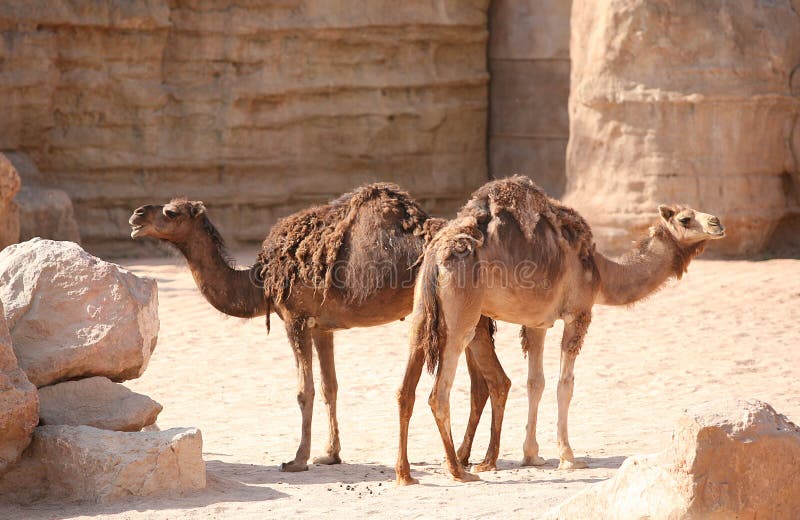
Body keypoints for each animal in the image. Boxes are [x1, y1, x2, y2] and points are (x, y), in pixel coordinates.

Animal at [128, 184, 506, 472]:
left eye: (171, 212)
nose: (136, 215)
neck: (259, 281)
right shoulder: (323, 327)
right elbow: (330, 387)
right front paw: (330, 454)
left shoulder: (295, 318)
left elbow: (304, 390)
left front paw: (297, 459)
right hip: (469, 314)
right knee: (481, 383)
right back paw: (468, 458)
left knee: (487, 381)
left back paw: (472, 460)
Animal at [395, 175, 725, 485]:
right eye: (685, 219)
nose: (717, 222)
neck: (601, 271)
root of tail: (437, 254)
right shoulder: (578, 313)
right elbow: (565, 385)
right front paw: (568, 456)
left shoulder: (535, 322)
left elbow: (535, 383)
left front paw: (532, 455)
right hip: (461, 315)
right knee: (440, 392)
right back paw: (457, 470)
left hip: (422, 312)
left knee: (406, 385)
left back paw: (406, 474)